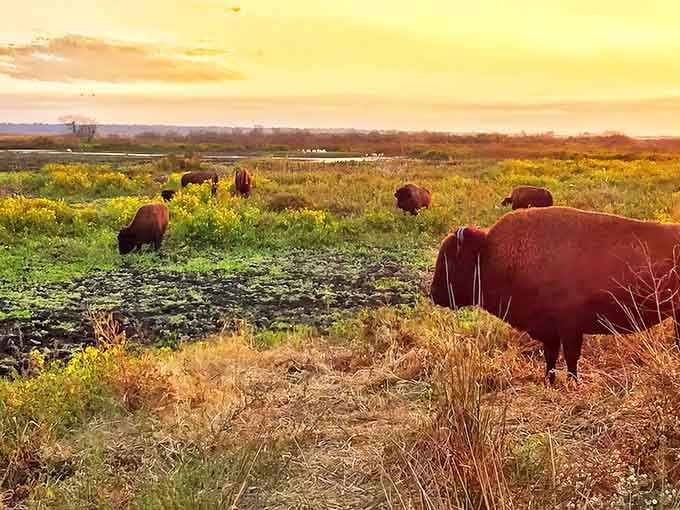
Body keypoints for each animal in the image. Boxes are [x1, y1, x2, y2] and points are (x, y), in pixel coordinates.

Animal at [431, 207, 680, 384]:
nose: (434, 294)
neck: (487, 254)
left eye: (450, 260)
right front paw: (549, 381)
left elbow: (570, 356)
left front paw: (572, 382)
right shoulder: (550, 330)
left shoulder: (569, 328)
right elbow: (551, 357)